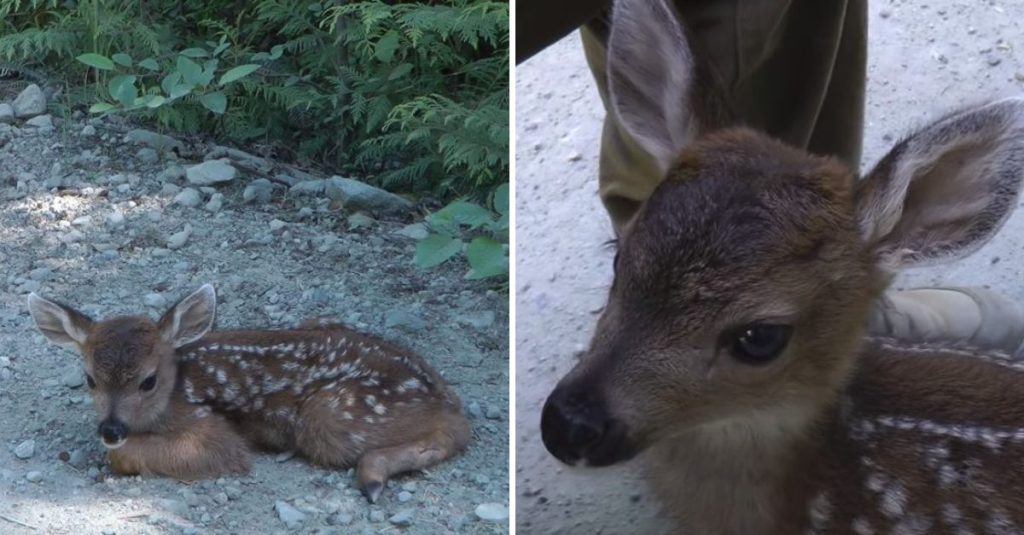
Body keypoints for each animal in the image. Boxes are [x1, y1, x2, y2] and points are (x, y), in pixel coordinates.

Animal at [27, 284, 470, 502]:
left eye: (148, 381)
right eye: (89, 379)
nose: (110, 429)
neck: (174, 391)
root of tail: (443, 394)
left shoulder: (209, 428)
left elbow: (130, 457)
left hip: (331, 415)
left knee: (453, 433)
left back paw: (373, 477)